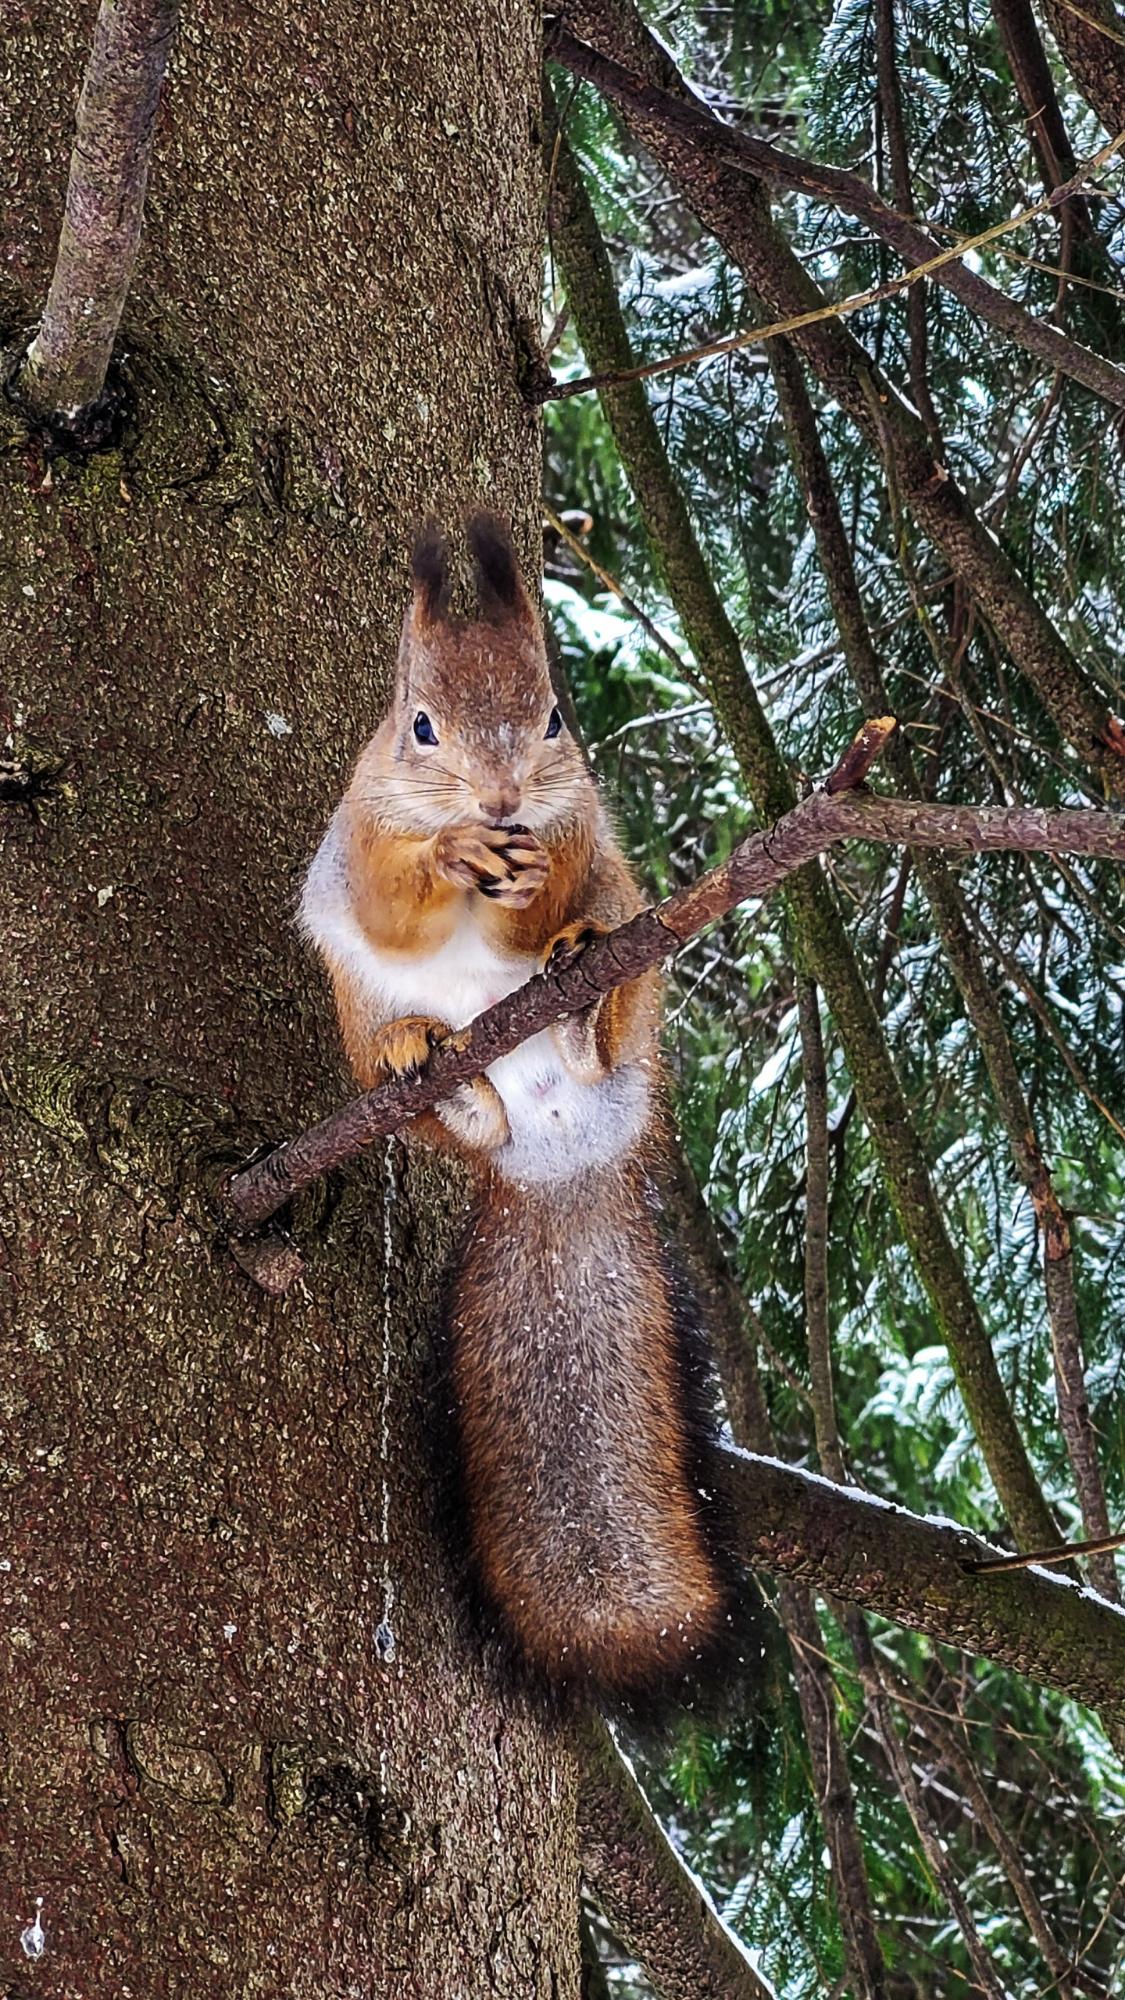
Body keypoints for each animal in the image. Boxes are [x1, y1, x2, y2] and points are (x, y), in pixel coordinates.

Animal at [298, 512, 732, 1704]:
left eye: (552, 717)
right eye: (420, 727)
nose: (498, 804)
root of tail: (557, 1158)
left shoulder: (580, 822)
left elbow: (543, 891)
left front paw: (526, 884)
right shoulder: (359, 834)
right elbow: (392, 903)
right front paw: (450, 852)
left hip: (632, 948)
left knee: (604, 1001)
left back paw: (581, 1001)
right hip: (359, 1019)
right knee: (431, 1091)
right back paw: (439, 1070)